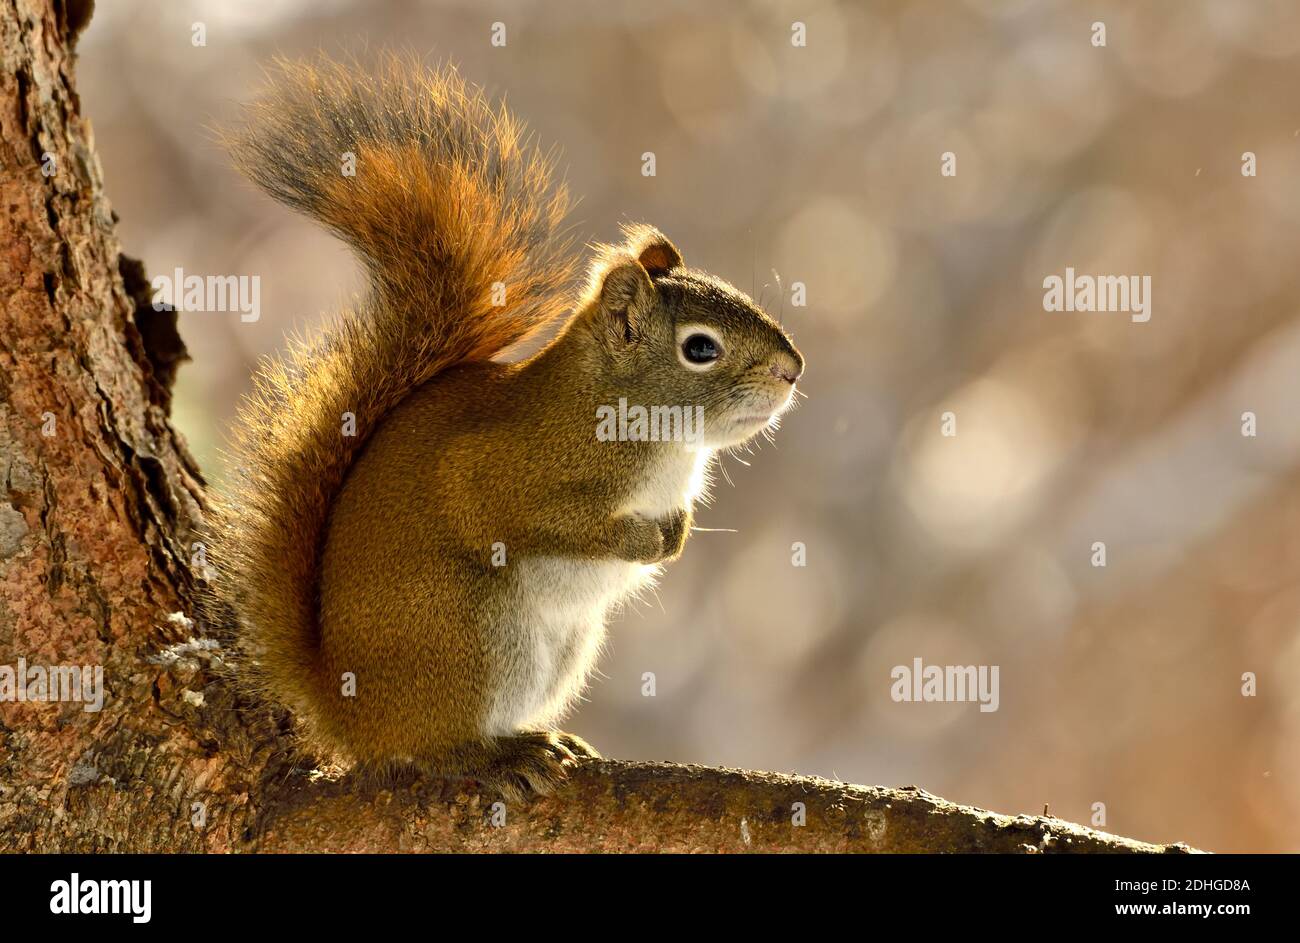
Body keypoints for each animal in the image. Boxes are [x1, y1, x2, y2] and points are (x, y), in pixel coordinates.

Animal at [207, 54, 804, 800]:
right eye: (700, 347)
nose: (793, 369)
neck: (658, 439)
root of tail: (348, 714)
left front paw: (675, 533)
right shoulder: (503, 468)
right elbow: (530, 514)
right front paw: (640, 539)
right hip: (468, 633)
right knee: (429, 745)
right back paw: (493, 757)